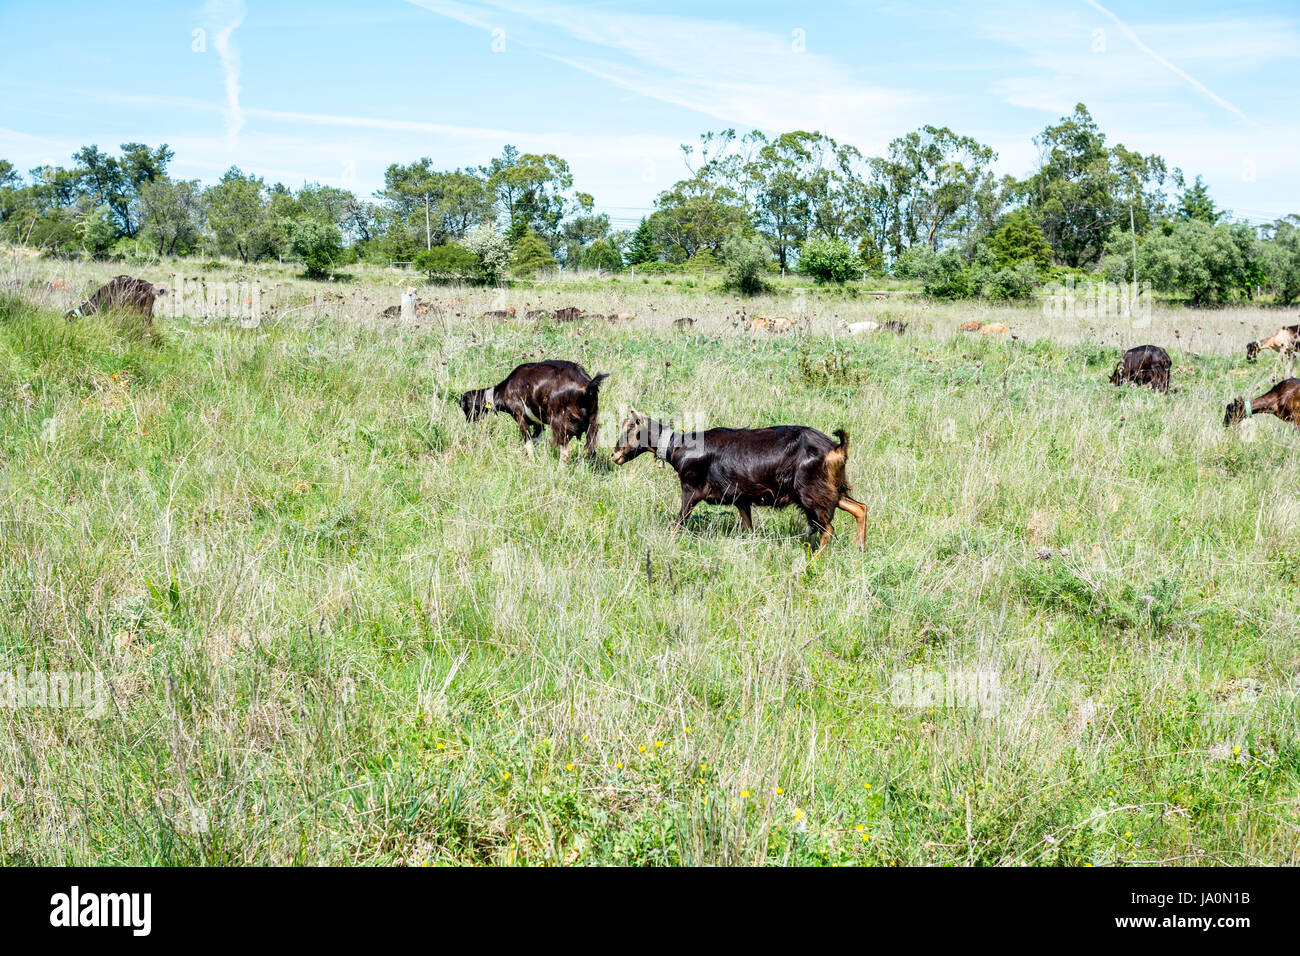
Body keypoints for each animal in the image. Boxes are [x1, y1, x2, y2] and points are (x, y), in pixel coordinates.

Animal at [460, 360, 608, 459]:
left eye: (464, 407)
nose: (468, 421)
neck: (504, 389)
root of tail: (587, 385)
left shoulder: (520, 416)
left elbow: (528, 443)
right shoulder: (538, 423)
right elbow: (535, 441)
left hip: (560, 421)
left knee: (566, 450)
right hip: (592, 421)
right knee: (591, 450)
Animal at [610, 410, 867, 556]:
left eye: (631, 427)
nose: (614, 455)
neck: (678, 447)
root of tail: (835, 448)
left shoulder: (691, 490)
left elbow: (677, 523)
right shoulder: (741, 498)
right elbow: (748, 528)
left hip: (810, 493)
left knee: (829, 529)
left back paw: (814, 561)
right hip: (830, 489)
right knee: (860, 509)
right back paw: (860, 550)